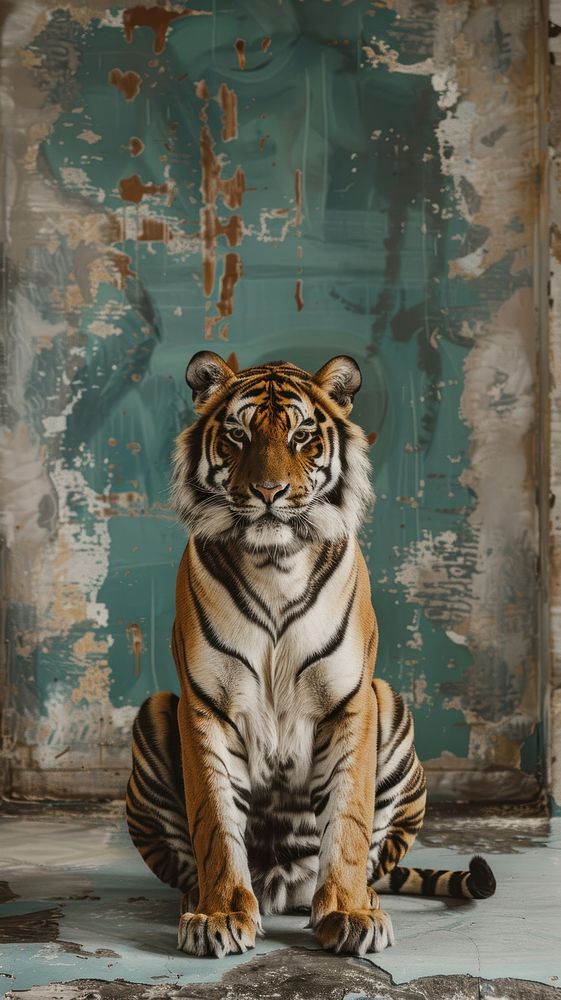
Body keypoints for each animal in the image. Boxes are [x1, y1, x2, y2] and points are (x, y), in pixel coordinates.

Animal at [125, 351, 496, 960]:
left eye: (301, 436)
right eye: (237, 434)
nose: (270, 491)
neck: (275, 561)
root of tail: (283, 887)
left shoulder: (350, 702)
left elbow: (347, 819)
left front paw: (349, 913)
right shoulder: (206, 705)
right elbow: (215, 820)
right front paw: (219, 914)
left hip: (392, 705)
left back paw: (365, 898)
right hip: (155, 712)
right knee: (187, 866)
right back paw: (197, 901)